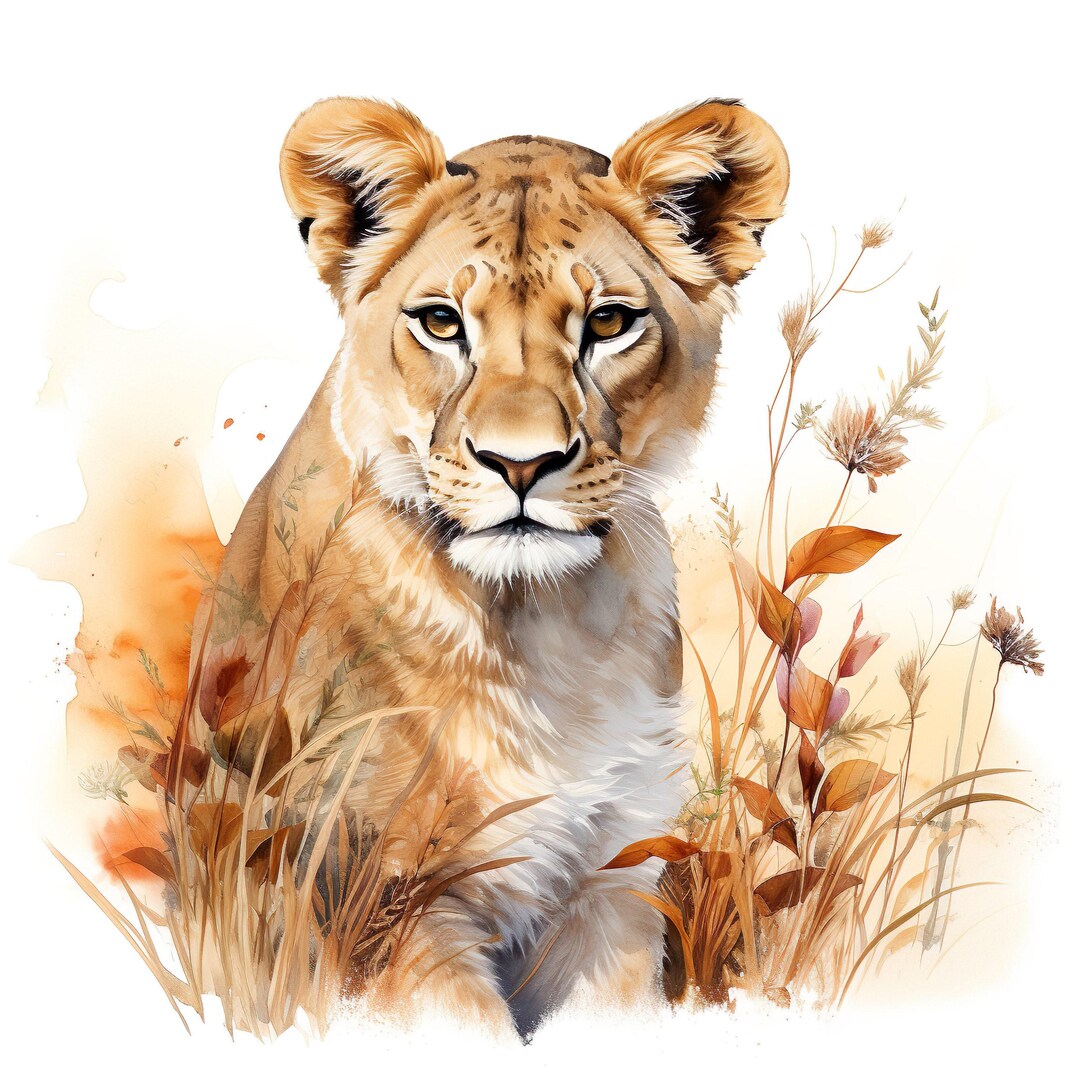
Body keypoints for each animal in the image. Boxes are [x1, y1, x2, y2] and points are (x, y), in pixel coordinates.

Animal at [187, 97, 787, 1036]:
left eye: (608, 323)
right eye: (441, 322)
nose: (521, 463)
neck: (544, 631)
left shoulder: (613, 880)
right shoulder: (389, 901)